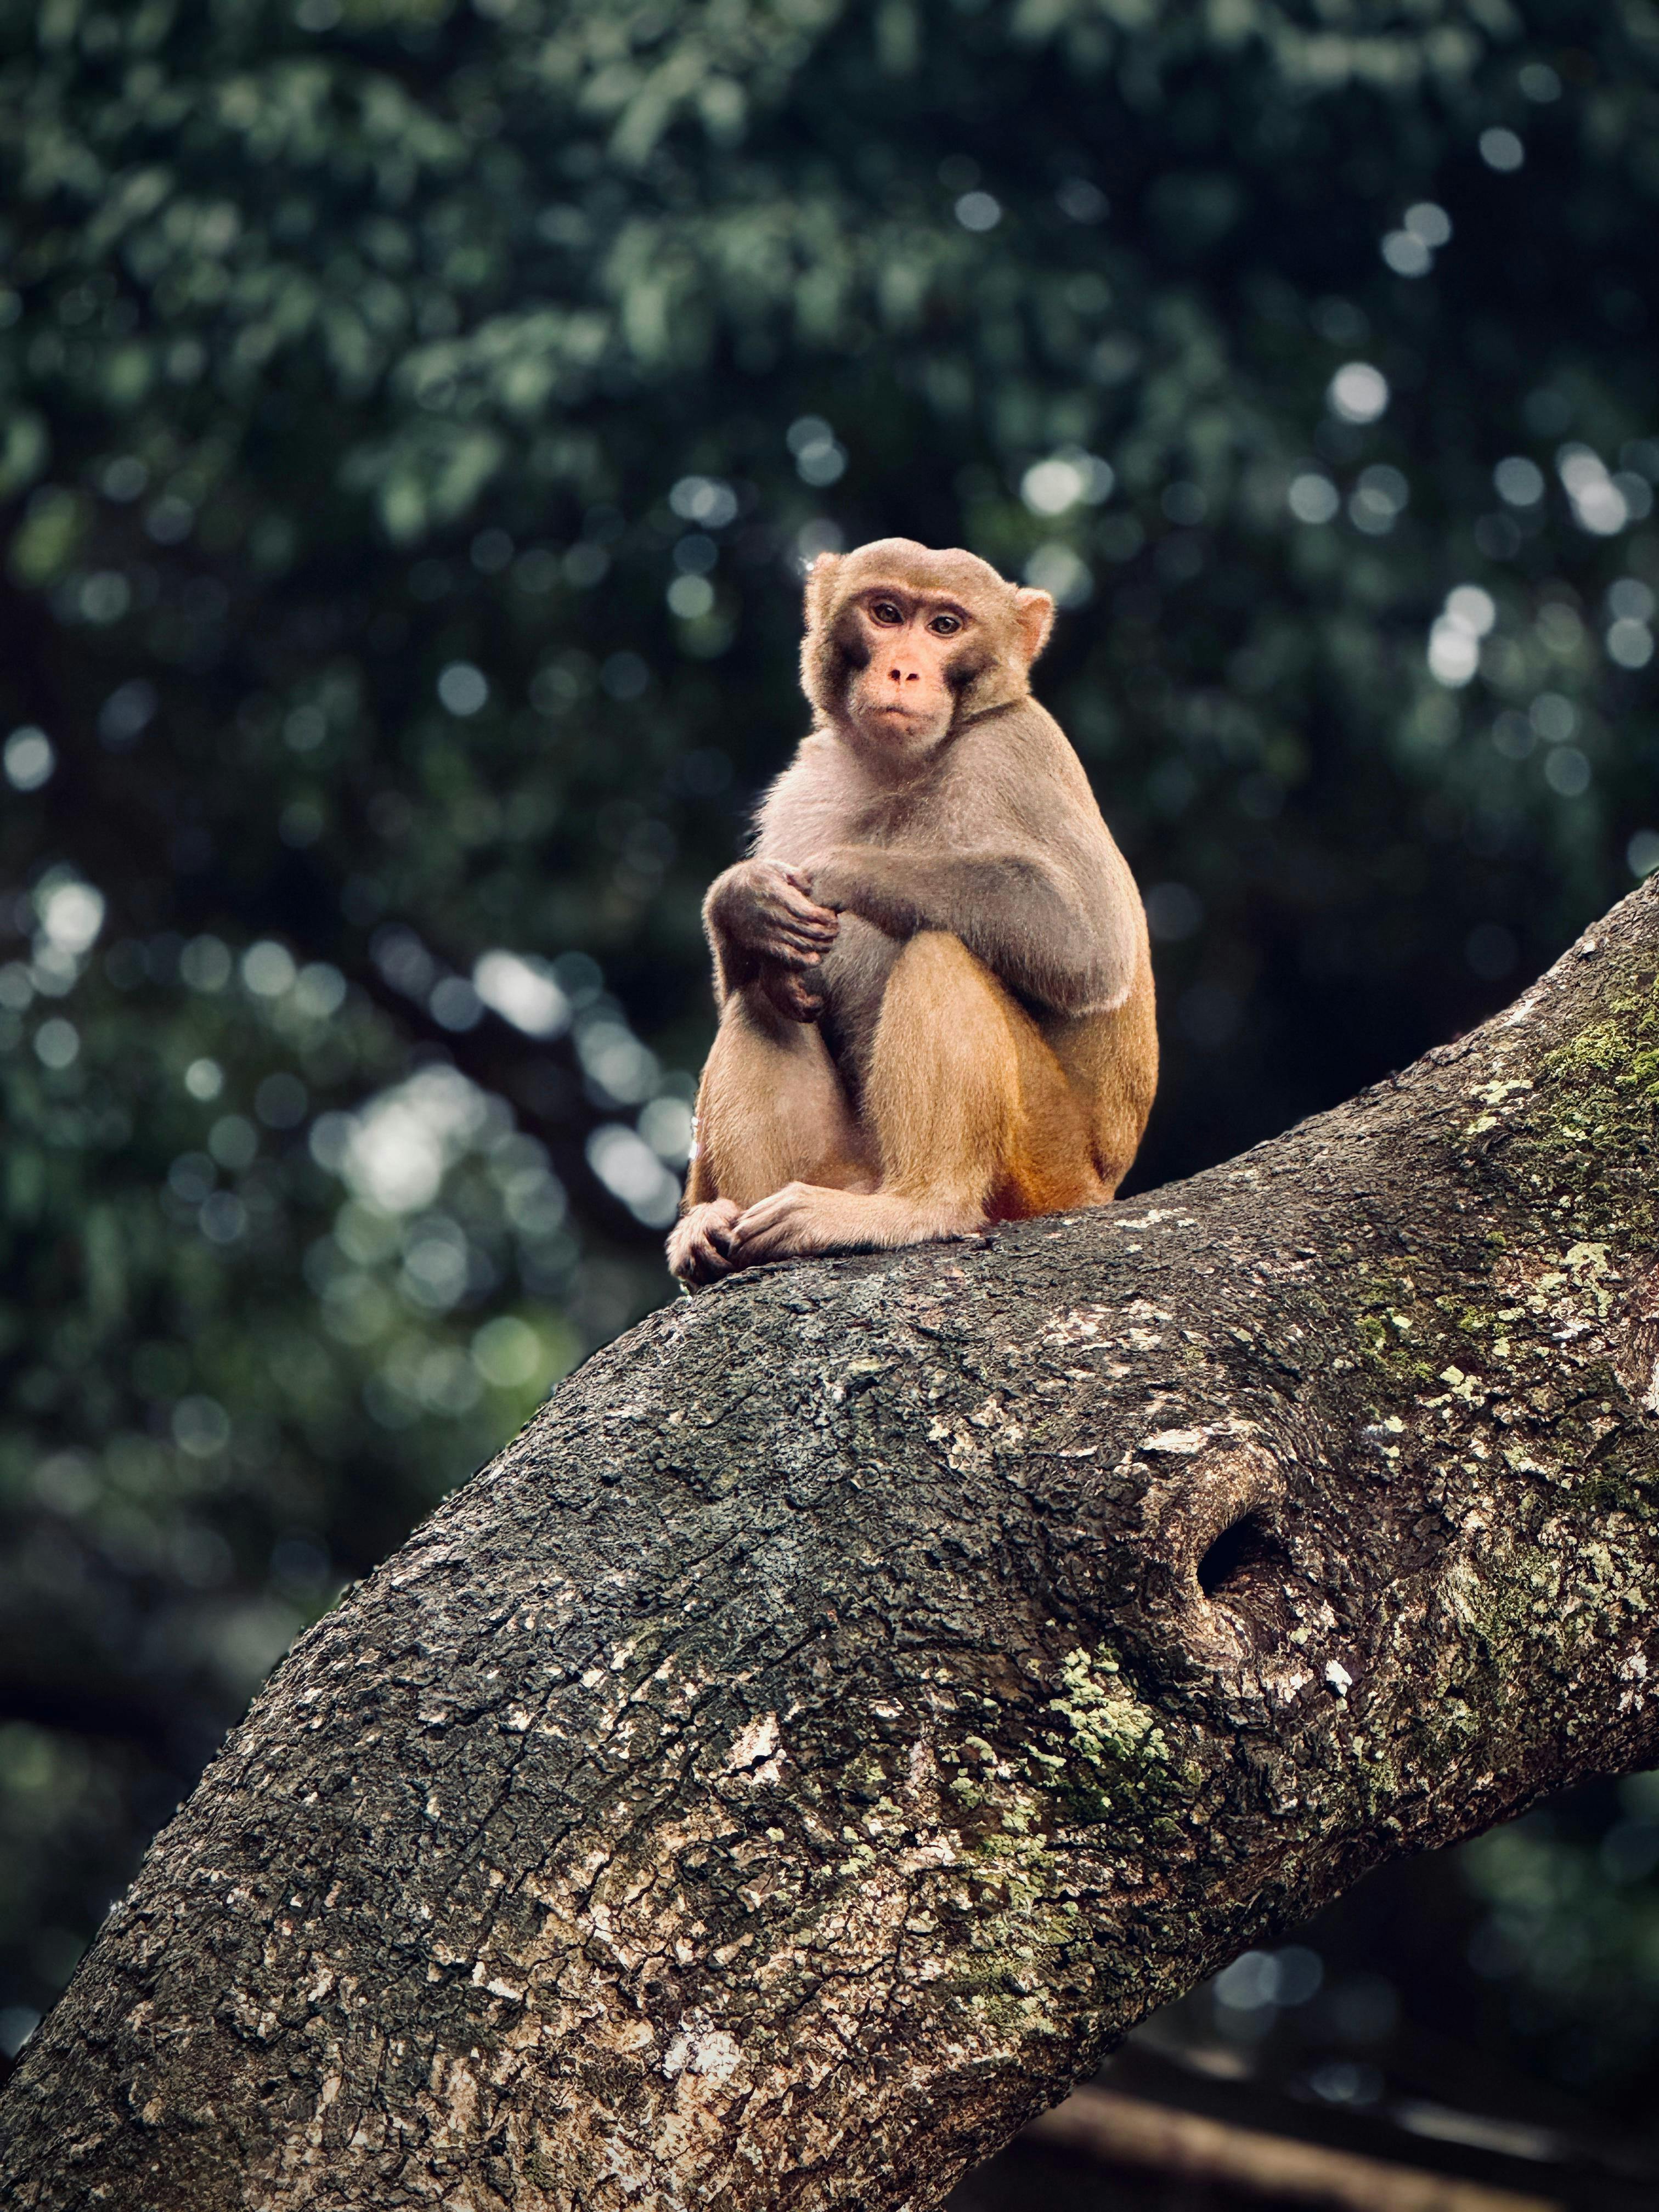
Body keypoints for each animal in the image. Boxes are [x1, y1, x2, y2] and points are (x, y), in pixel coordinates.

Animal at [666, 536, 1156, 1285]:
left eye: (945, 626)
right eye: (887, 613)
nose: (903, 669)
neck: (904, 766)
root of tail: (1104, 1188)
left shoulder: (1019, 750)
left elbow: (1086, 946)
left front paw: (841, 872)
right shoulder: (806, 780)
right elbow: (754, 969)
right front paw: (744, 904)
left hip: (1045, 1174)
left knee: (940, 946)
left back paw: (921, 1207)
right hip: (849, 1165)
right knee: (763, 994)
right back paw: (723, 1228)